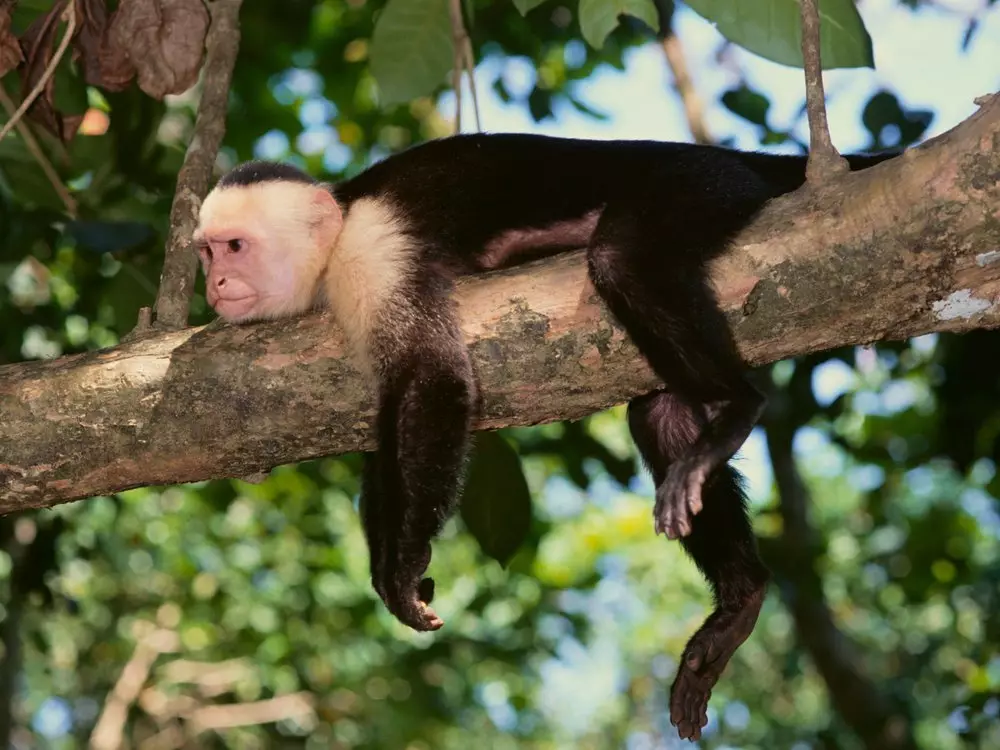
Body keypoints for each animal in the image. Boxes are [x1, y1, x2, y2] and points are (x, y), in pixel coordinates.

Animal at [195, 134, 900, 740]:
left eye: (235, 247)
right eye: (205, 252)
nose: (213, 286)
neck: (338, 231)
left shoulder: (375, 252)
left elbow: (433, 378)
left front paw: (403, 567)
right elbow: (390, 422)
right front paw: (385, 565)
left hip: (705, 183)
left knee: (621, 259)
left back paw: (737, 405)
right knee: (660, 414)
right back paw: (739, 599)